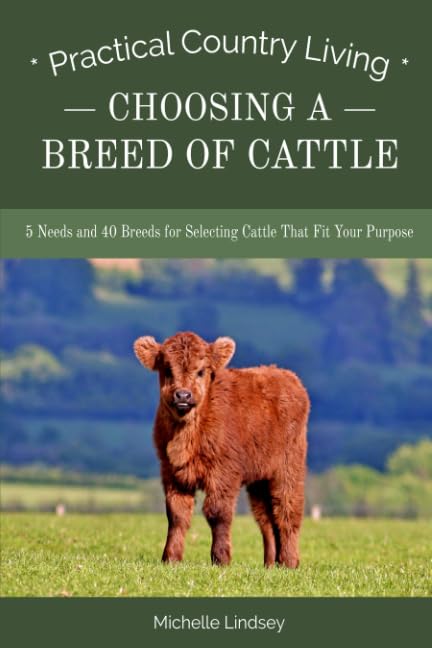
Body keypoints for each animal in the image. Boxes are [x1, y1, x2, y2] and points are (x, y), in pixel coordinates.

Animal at [134, 331, 309, 568]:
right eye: (167, 369)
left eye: (201, 371)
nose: (183, 395)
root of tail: (288, 377)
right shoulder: (172, 473)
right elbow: (177, 515)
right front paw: (170, 558)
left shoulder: (223, 474)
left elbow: (218, 513)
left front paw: (221, 559)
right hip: (259, 480)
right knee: (266, 519)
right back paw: (271, 564)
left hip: (288, 469)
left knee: (287, 511)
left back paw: (290, 562)